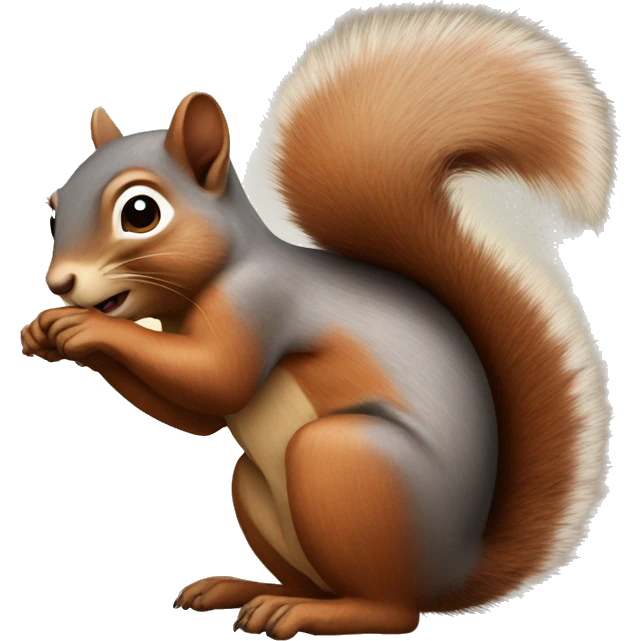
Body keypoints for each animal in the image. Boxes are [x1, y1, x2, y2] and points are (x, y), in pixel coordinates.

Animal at [23, 5, 612, 636]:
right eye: (55, 207)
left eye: (140, 212)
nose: (60, 283)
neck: (214, 276)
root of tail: (453, 570)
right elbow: (198, 416)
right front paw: (46, 332)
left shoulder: (261, 301)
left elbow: (218, 377)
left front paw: (87, 330)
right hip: (258, 490)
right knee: (314, 573)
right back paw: (247, 590)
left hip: (343, 462)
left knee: (391, 609)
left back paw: (309, 611)